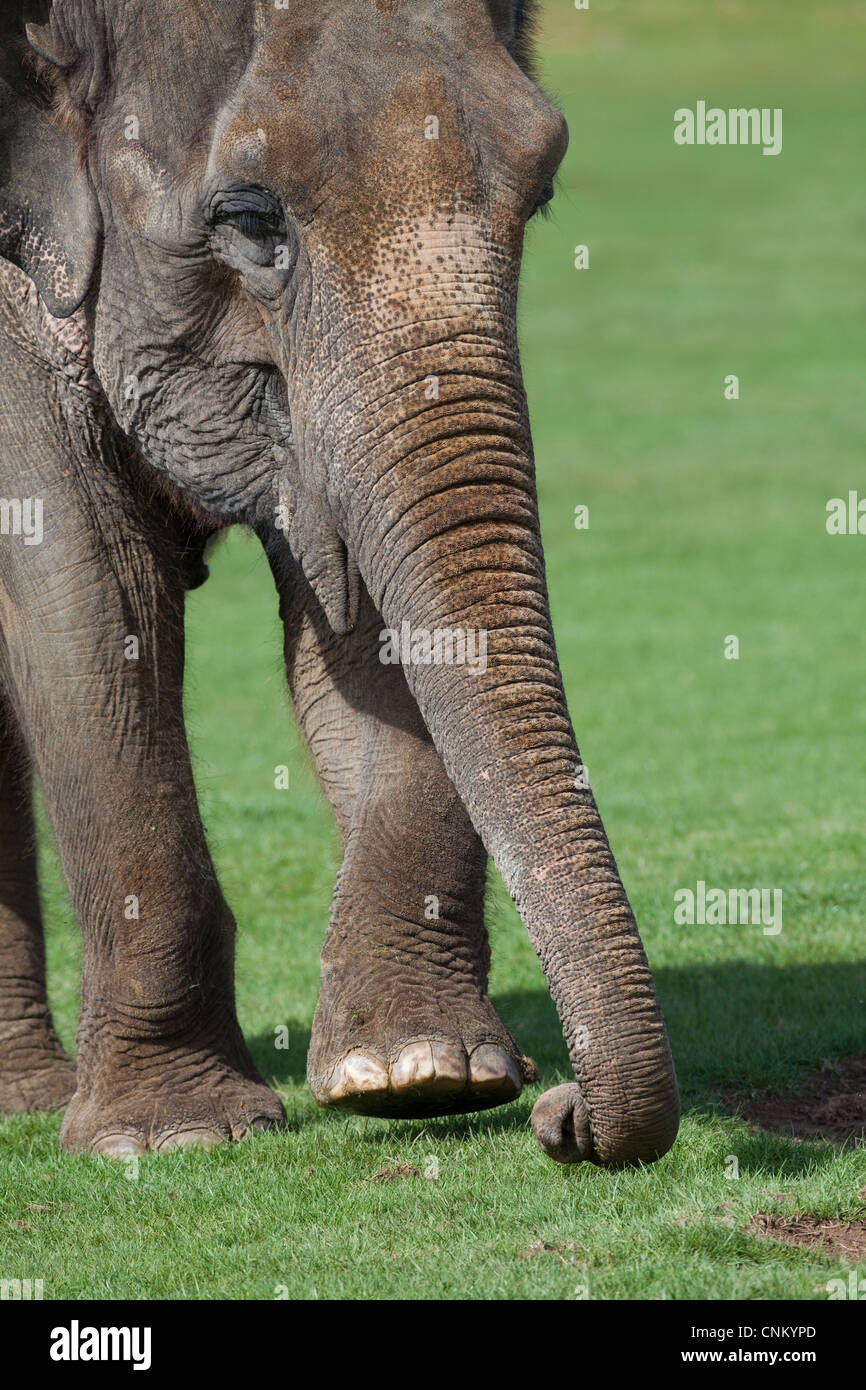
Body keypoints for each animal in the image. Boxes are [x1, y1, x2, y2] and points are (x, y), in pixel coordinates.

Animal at [0, 0, 679, 1166]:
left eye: (541, 190)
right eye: (248, 217)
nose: (563, 1115)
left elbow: (357, 612)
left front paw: (419, 1075)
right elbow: (88, 593)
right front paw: (174, 1135)